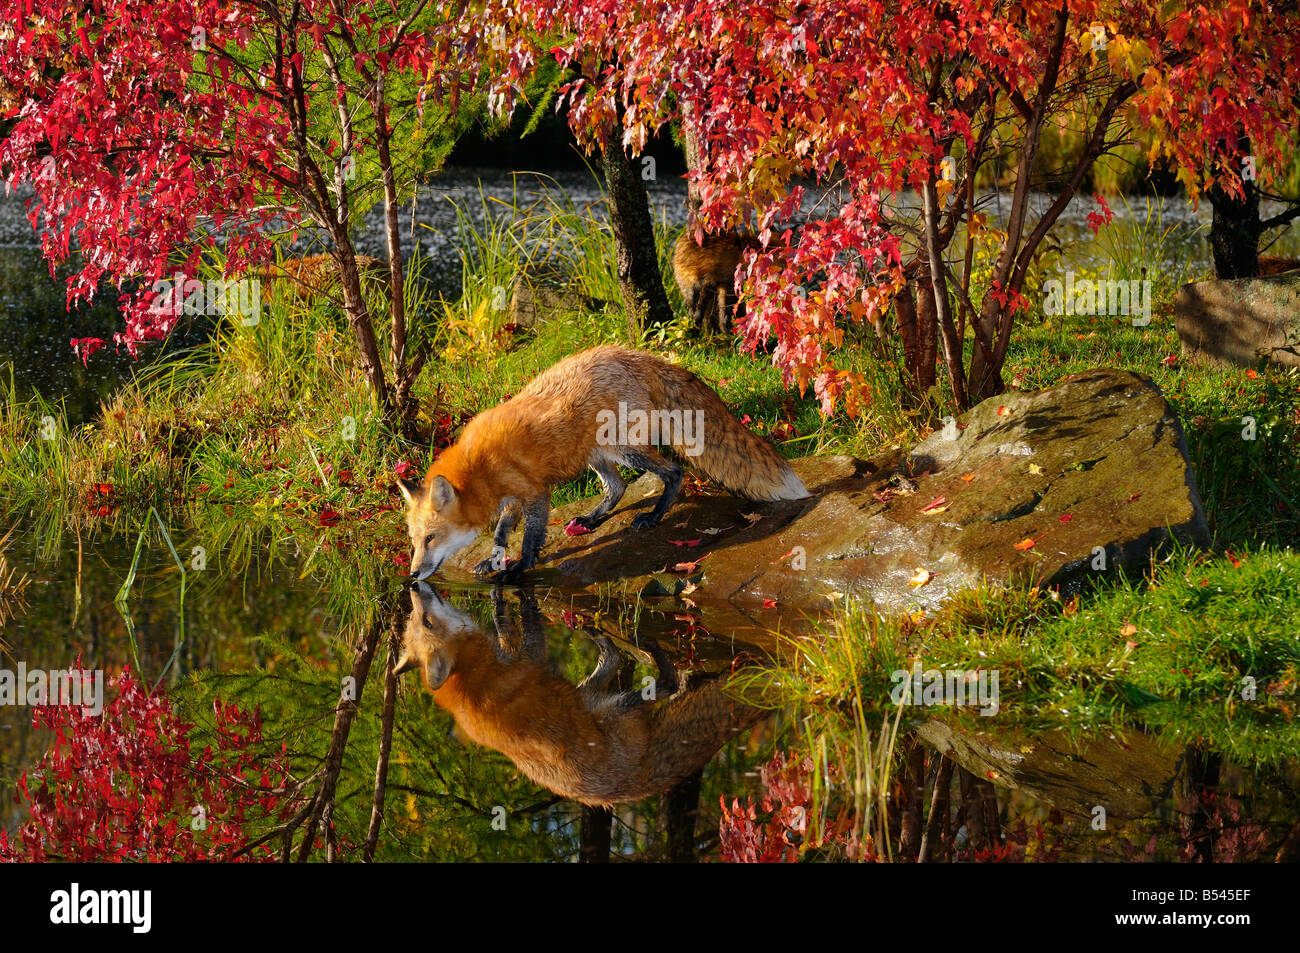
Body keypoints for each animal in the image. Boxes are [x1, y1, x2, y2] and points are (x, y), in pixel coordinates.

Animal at [394, 582, 767, 807]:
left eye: (419, 620)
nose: (413, 583)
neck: (470, 679)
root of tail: (629, 786)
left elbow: (504, 622)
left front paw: (501, 588)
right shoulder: (532, 656)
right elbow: (519, 621)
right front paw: (512, 594)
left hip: (587, 696)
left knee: (612, 657)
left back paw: (595, 630)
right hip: (616, 707)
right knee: (666, 684)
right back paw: (652, 652)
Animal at [398, 344, 810, 581]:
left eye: (432, 538)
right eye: (414, 541)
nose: (414, 575)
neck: (481, 464)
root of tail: (641, 356)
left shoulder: (536, 493)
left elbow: (529, 537)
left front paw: (520, 567)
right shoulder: (514, 498)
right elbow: (501, 532)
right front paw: (495, 559)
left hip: (623, 447)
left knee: (673, 471)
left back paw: (653, 516)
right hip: (596, 454)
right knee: (619, 485)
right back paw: (593, 519)